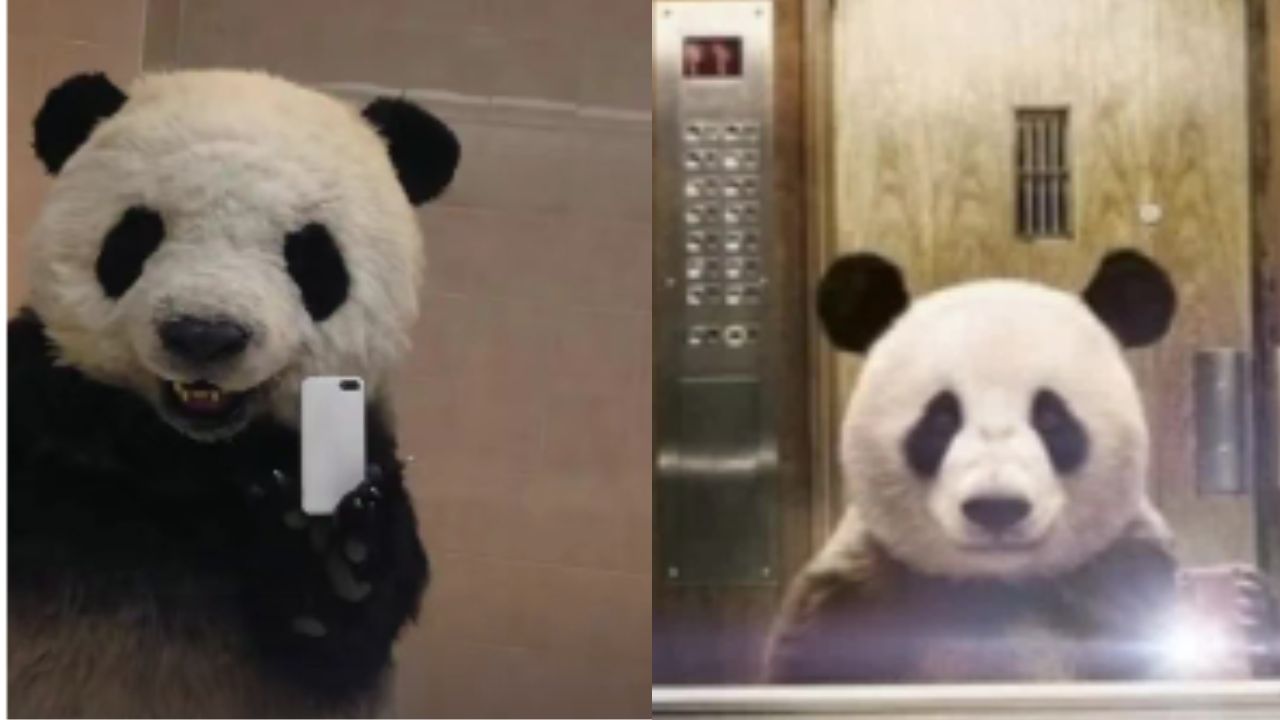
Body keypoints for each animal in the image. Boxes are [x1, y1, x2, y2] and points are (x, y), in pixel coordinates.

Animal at [9, 70, 459, 716]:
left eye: (310, 253)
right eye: (136, 235)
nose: (204, 335)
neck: (188, 449)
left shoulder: (351, 440)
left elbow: (346, 637)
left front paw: (332, 551)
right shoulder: (46, 407)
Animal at [764, 250, 1187, 683]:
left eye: (1050, 417)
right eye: (941, 419)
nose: (996, 507)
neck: (993, 589)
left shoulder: (1123, 585)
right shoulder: (855, 596)